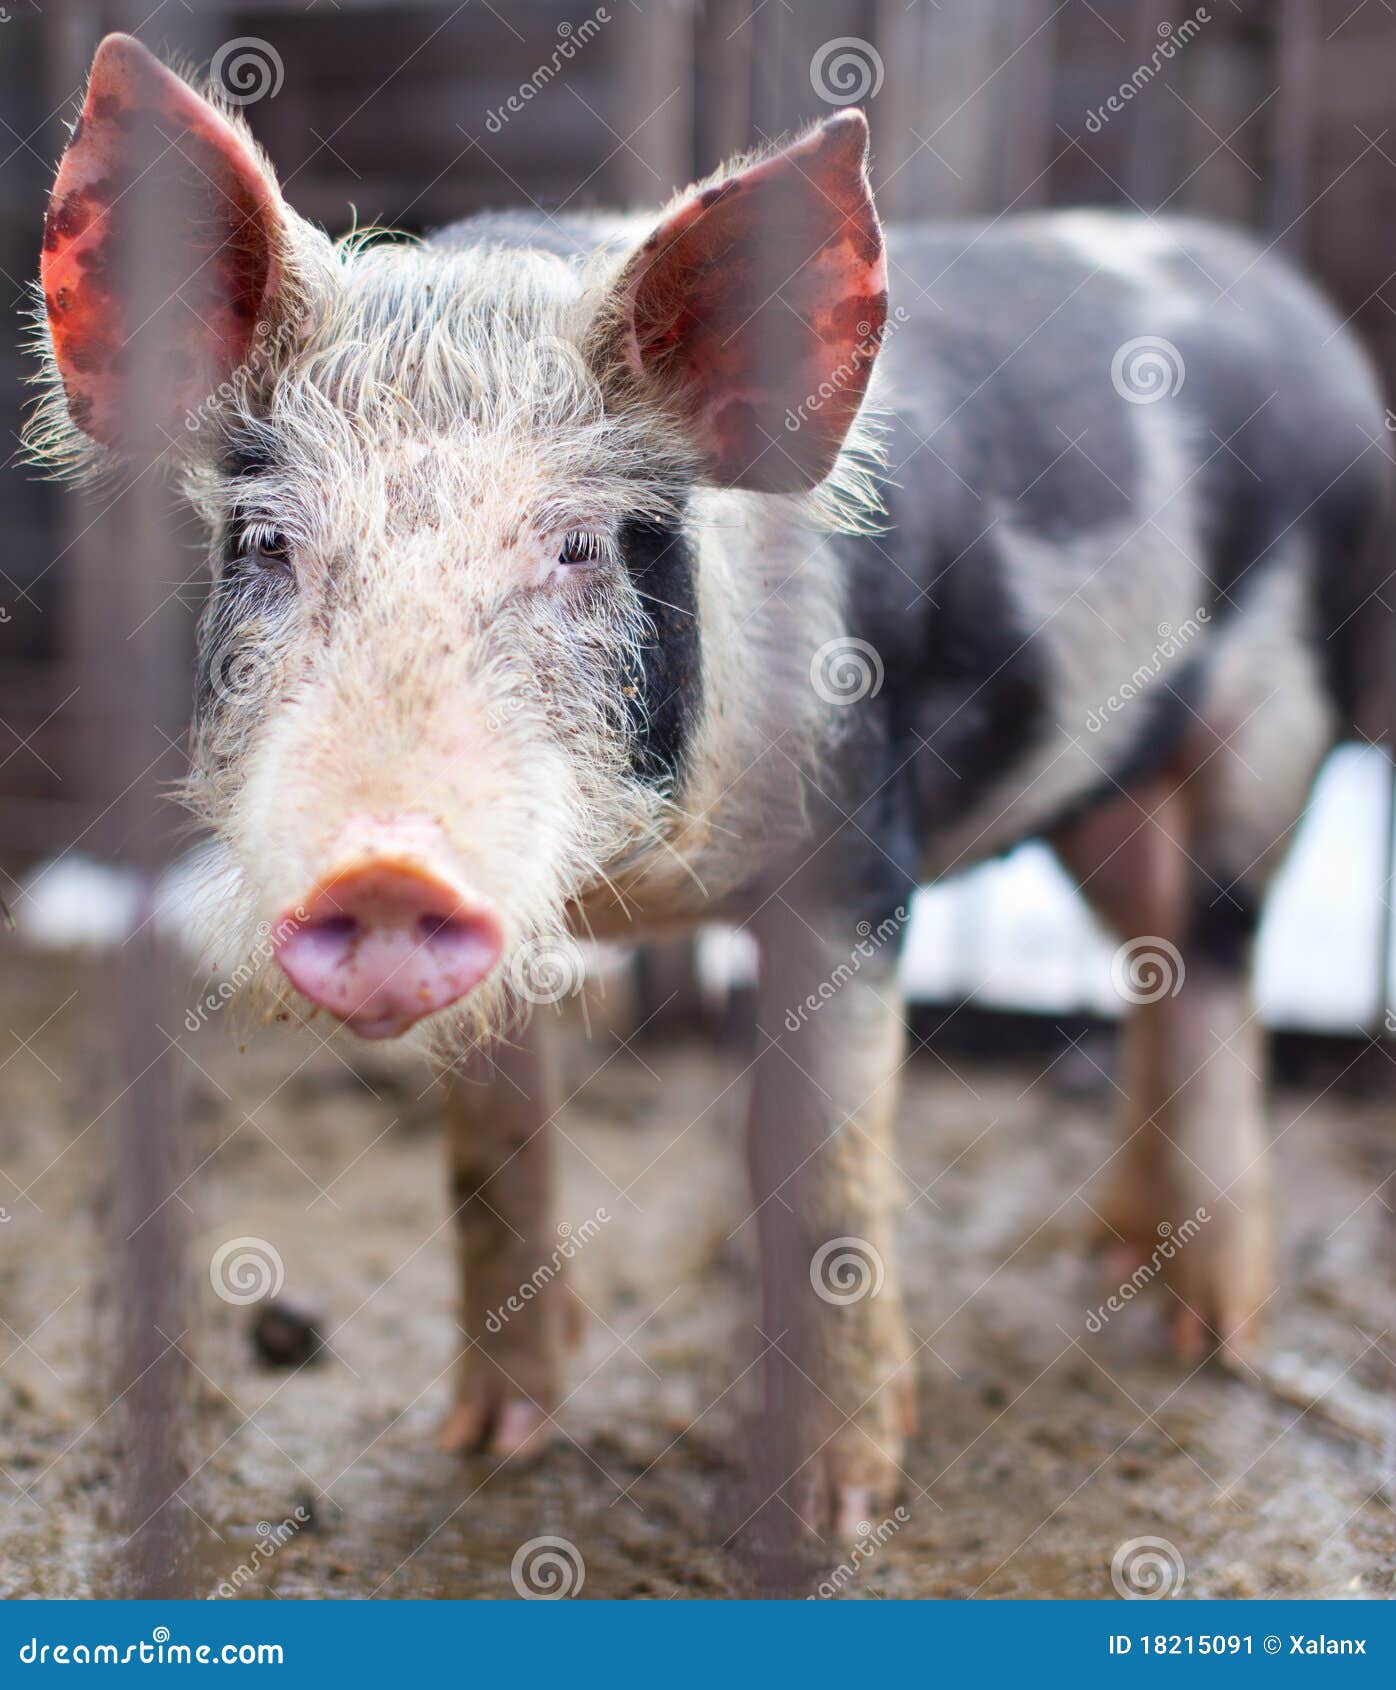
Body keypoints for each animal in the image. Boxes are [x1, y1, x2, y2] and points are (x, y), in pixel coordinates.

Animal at [31, 34, 1389, 1539]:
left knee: (1220, 973)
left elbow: (827, 1171)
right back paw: (1115, 1261)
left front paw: (835, 1509)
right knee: (1155, 964)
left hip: (1281, 716)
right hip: (1104, 802)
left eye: (578, 545)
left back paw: (1205, 1337)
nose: (383, 863)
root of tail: (1302, 311)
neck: (634, 892)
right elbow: (487, 1152)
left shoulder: (857, 860)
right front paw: (486, 1441)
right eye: (266, 539)